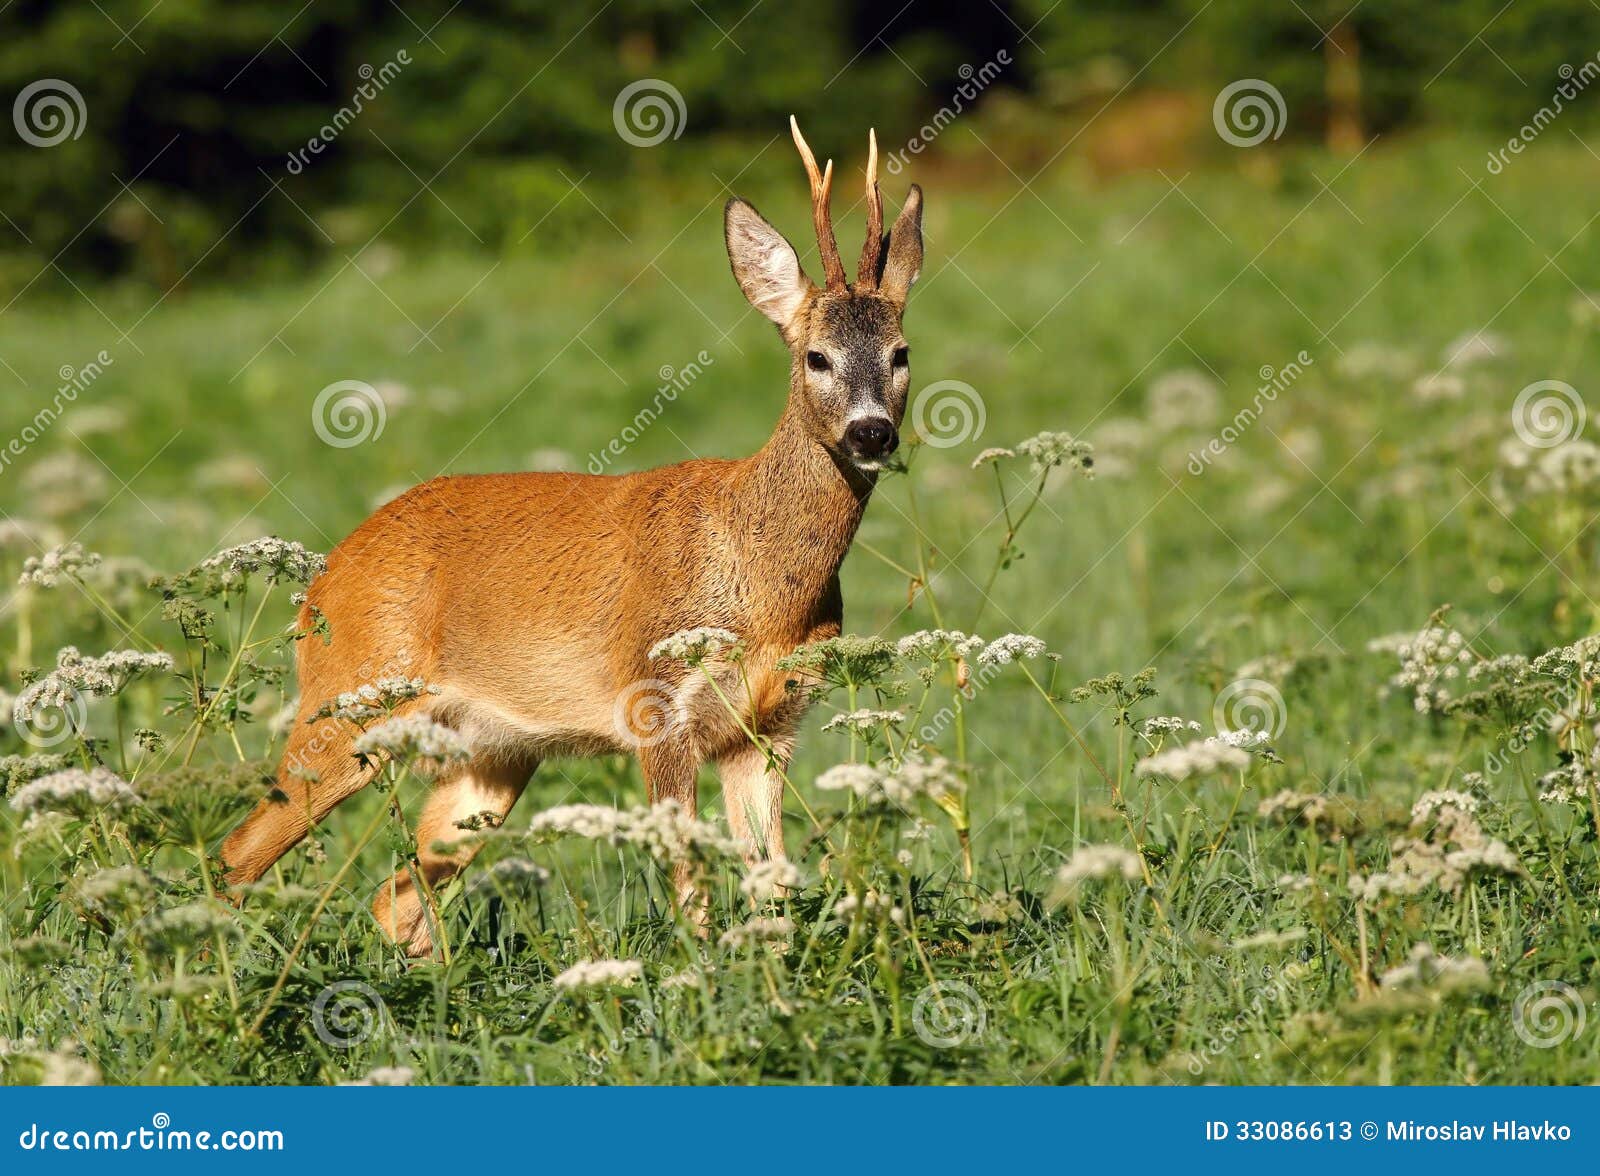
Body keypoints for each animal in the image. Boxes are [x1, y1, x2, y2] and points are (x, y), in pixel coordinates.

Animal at [220, 119, 924, 956]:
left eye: (902, 354)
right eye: (816, 356)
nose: (872, 432)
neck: (759, 581)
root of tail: (320, 580)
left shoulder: (769, 724)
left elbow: (771, 881)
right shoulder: (655, 700)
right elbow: (688, 877)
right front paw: (702, 973)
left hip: (488, 753)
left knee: (396, 895)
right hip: (347, 697)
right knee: (238, 852)